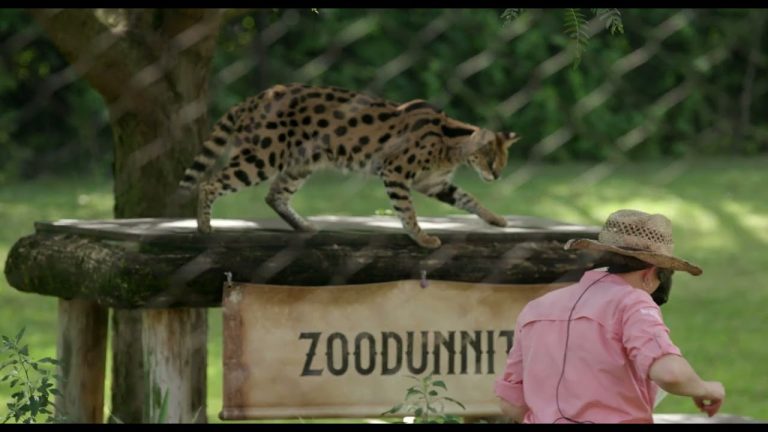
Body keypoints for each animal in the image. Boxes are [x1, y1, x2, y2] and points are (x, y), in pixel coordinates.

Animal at [178, 83, 520, 249]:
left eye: (503, 161)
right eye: (490, 159)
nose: (496, 175)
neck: (451, 145)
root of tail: (255, 97)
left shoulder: (433, 183)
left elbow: (469, 199)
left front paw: (496, 218)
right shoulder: (395, 172)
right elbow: (408, 212)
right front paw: (422, 239)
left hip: (300, 163)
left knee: (274, 195)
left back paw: (304, 226)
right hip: (262, 156)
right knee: (209, 183)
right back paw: (204, 226)